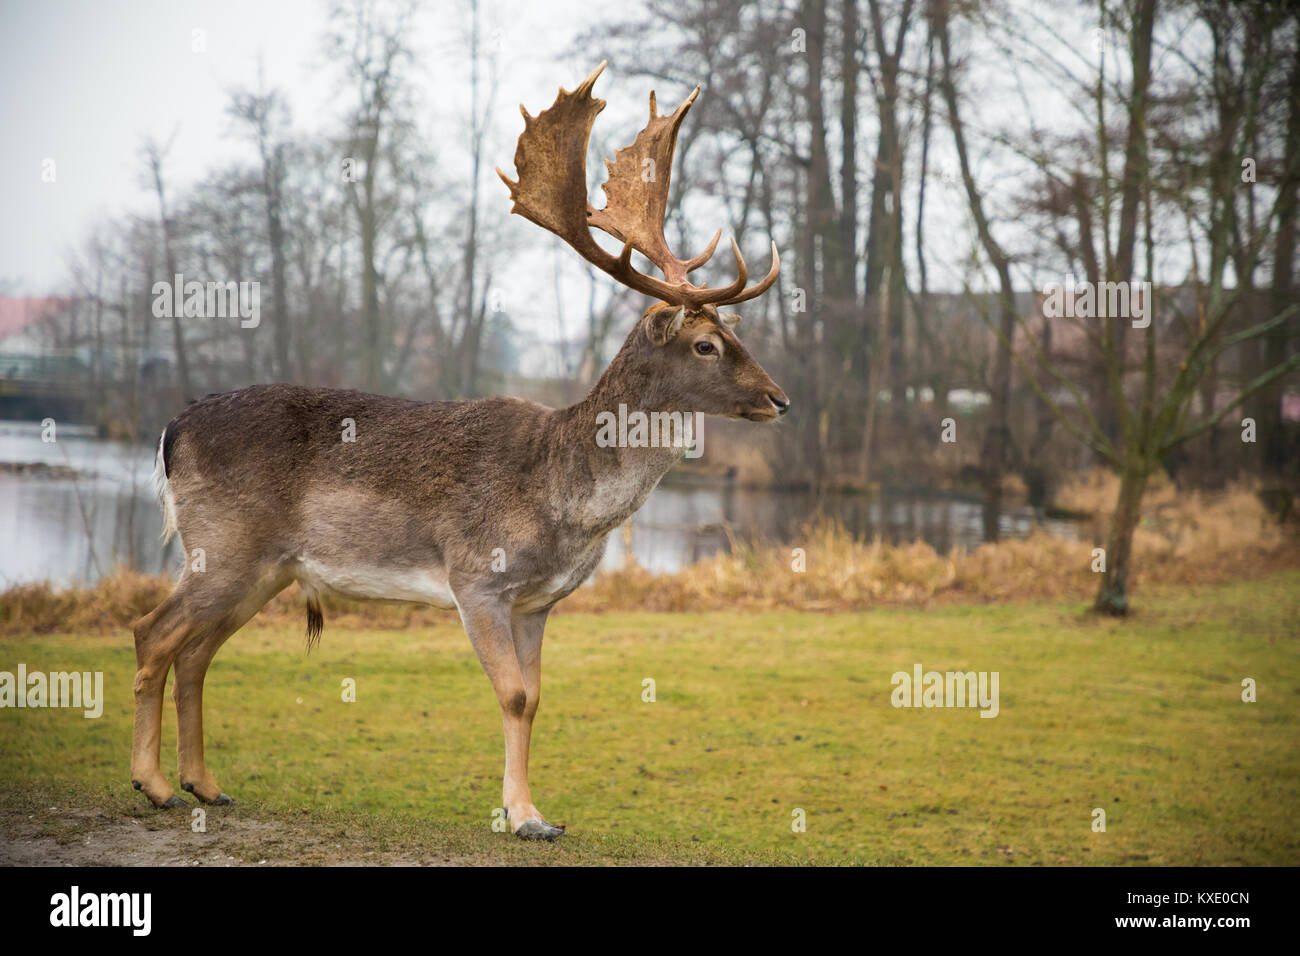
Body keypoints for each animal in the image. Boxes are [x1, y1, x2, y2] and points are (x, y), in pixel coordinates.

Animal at [130, 62, 787, 840]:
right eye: (707, 344)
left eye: (734, 333)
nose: (780, 398)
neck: (565, 502)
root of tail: (171, 431)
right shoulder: (476, 579)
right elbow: (512, 697)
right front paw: (523, 816)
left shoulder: (537, 602)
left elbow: (536, 698)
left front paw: (534, 812)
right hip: (222, 544)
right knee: (152, 632)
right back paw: (155, 786)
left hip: (265, 568)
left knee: (195, 651)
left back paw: (204, 783)